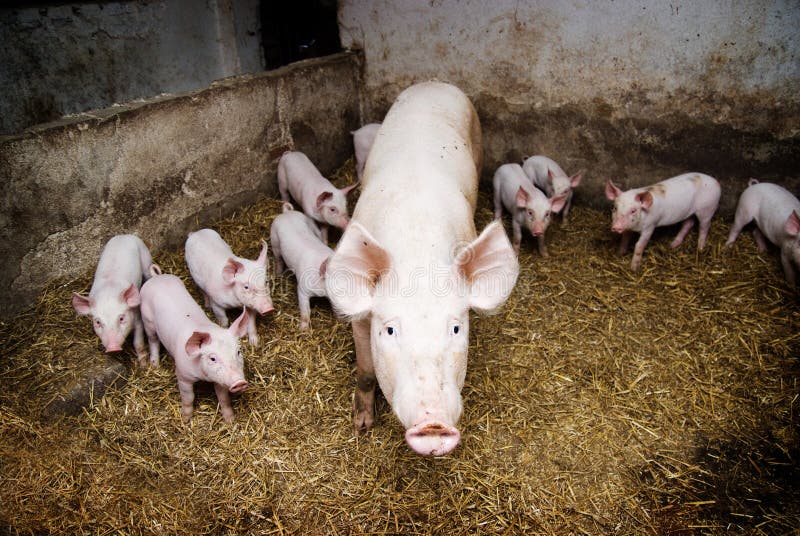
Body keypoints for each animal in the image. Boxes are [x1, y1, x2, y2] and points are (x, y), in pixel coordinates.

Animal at [72, 234, 159, 364]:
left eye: (121, 318)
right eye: (98, 322)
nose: (113, 347)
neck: (109, 292)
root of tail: (124, 235)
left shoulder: (137, 316)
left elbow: (138, 343)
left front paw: (143, 365)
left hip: (145, 258)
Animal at [139, 273, 250, 423]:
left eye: (238, 352)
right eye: (212, 358)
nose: (239, 382)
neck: (204, 377)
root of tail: (156, 278)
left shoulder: (220, 380)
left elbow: (223, 398)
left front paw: (230, 420)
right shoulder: (182, 375)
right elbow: (188, 398)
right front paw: (185, 419)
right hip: (147, 321)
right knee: (153, 341)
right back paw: (155, 365)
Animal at [326, 81, 519, 456]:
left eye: (456, 328)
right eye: (389, 330)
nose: (434, 424)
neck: (417, 247)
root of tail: (434, 82)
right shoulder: (360, 318)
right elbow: (365, 370)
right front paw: (362, 427)